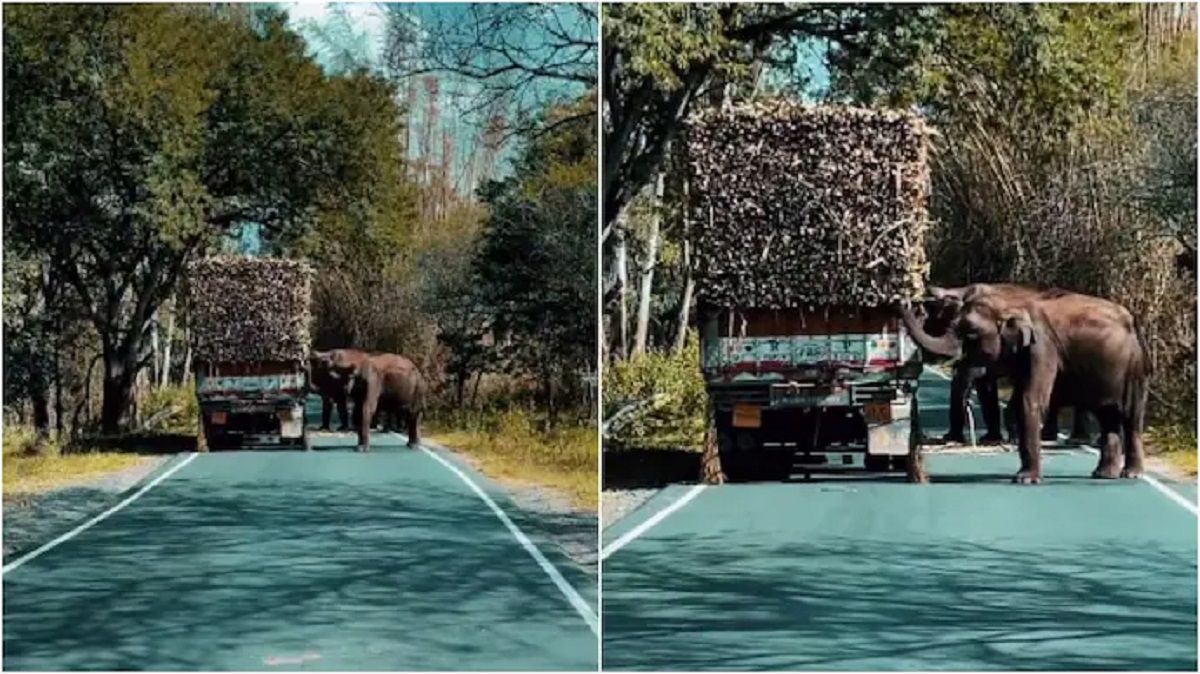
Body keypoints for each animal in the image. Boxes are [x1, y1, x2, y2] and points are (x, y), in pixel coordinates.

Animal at [901, 284, 1149, 484]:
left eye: (971, 334)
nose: (905, 303)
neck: (1011, 306)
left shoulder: (1043, 348)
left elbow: (1029, 400)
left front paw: (1025, 480)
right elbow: (1018, 398)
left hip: (1134, 366)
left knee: (1130, 416)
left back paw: (1130, 473)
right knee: (1107, 416)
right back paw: (1104, 474)